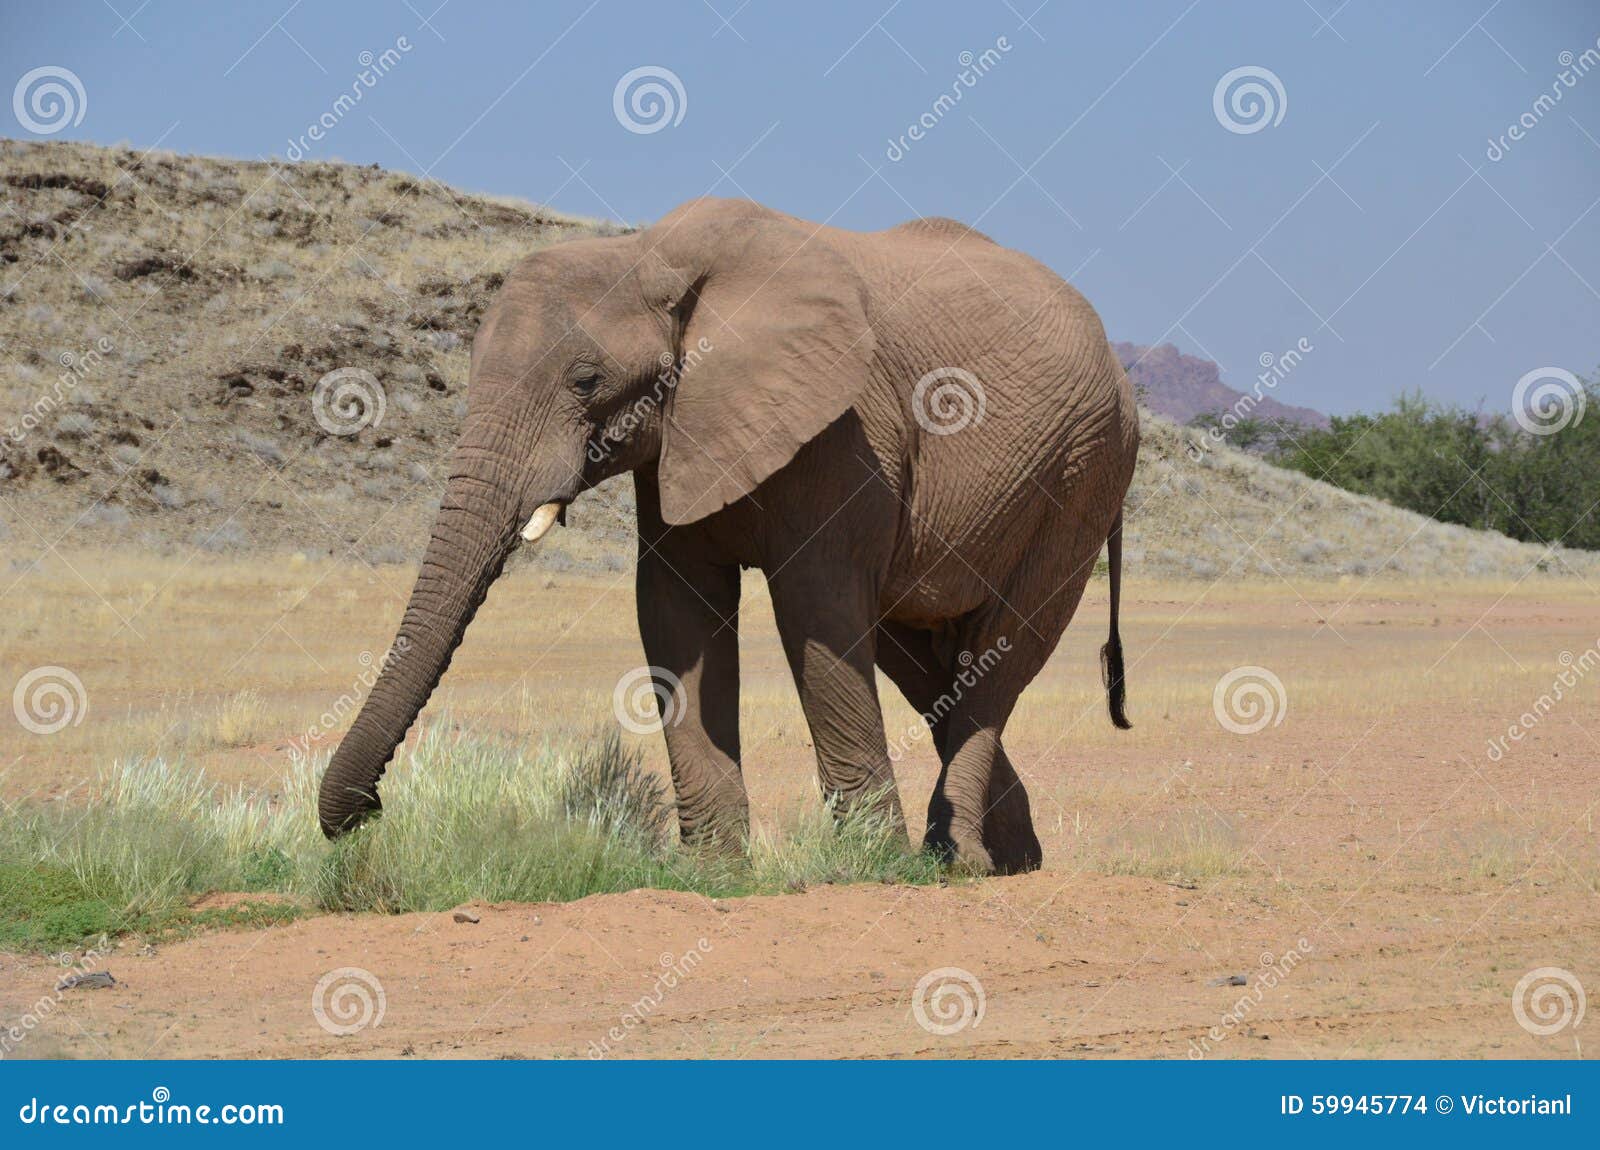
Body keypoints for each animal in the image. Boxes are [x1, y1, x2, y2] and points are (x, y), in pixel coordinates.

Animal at [316, 196, 1139, 875]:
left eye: (585, 382)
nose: (370, 812)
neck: (649, 255)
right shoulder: (680, 435)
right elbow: (676, 609)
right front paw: (715, 871)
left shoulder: (843, 429)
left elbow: (815, 606)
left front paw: (870, 862)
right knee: (925, 663)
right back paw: (1016, 857)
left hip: (1082, 472)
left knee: (1001, 649)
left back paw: (955, 859)